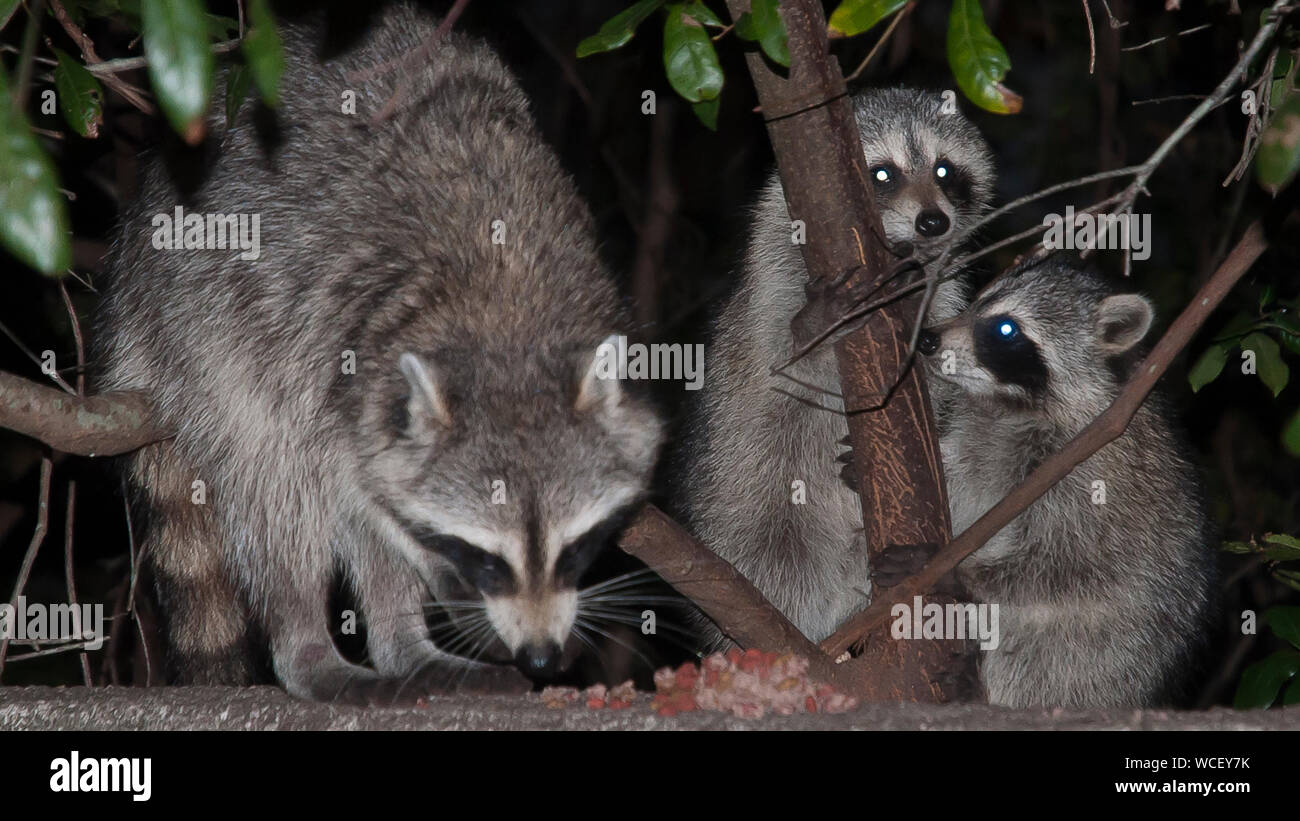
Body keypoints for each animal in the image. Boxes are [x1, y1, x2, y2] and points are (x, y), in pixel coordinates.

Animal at [93, 4, 663, 703]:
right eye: (486, 558)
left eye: (574, 550)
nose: (540, 655)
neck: (508, 321)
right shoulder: (334, 348)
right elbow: (356, 491)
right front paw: (430, 571)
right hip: (201, 324)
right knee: (272, 476)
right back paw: (308, 645)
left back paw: (402, 646)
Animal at [676, 88, 995, 649]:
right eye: (883, 174)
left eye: (944, 171)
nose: (933, 221)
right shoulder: (773, 283)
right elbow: (777, 361)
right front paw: (810, 333)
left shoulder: (941, 292)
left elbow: (944, 378)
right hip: (744, 511)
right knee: (776, 556)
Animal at [917, 258, 1216, 707]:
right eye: (977, 301)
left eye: (1006, 329)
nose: (928, 339)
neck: (1013, 407)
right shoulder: (986, 439)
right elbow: (966, 477)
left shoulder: (1091, 473)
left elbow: (1071, 564)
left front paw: (960, 572)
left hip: (1111, 659)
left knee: (1051, 648)